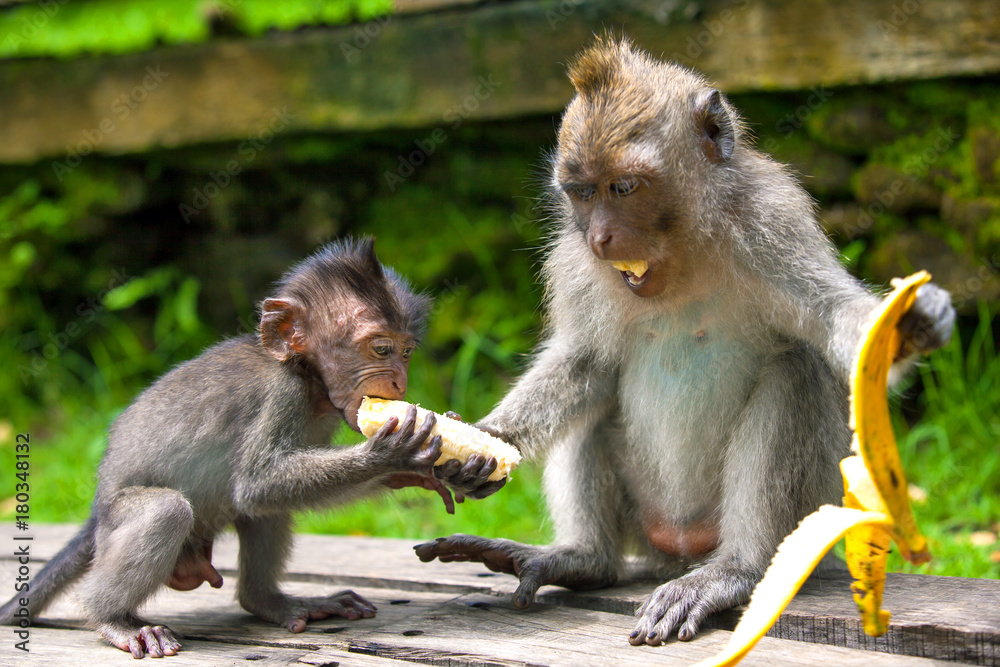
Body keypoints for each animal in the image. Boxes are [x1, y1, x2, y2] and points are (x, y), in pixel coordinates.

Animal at [0, 238, 502, 658]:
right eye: (380, 348)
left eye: (407, 351)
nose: (399, 383)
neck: (308, 377)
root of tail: (96, 512)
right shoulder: (283, 392)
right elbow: (258, 482)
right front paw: (393, 452)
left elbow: (268, 493)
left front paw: (431, 467)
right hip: (115, 520)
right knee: (168, 510)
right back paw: (112, 620)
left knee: (265, 512)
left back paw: (267, 601)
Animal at [415, 37, 956, 647]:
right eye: (581, 193)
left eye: (624, 187)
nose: (601, 237)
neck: (686, 251)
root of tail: (679, 546)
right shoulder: (575, 264)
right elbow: (584, 362)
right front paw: (485, 439)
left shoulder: (774, 222)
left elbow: (835, 322)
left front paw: (909, 326)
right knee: (595, 397)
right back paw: (583, 558)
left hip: (806, 505)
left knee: (795, 368)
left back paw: (735, 570)